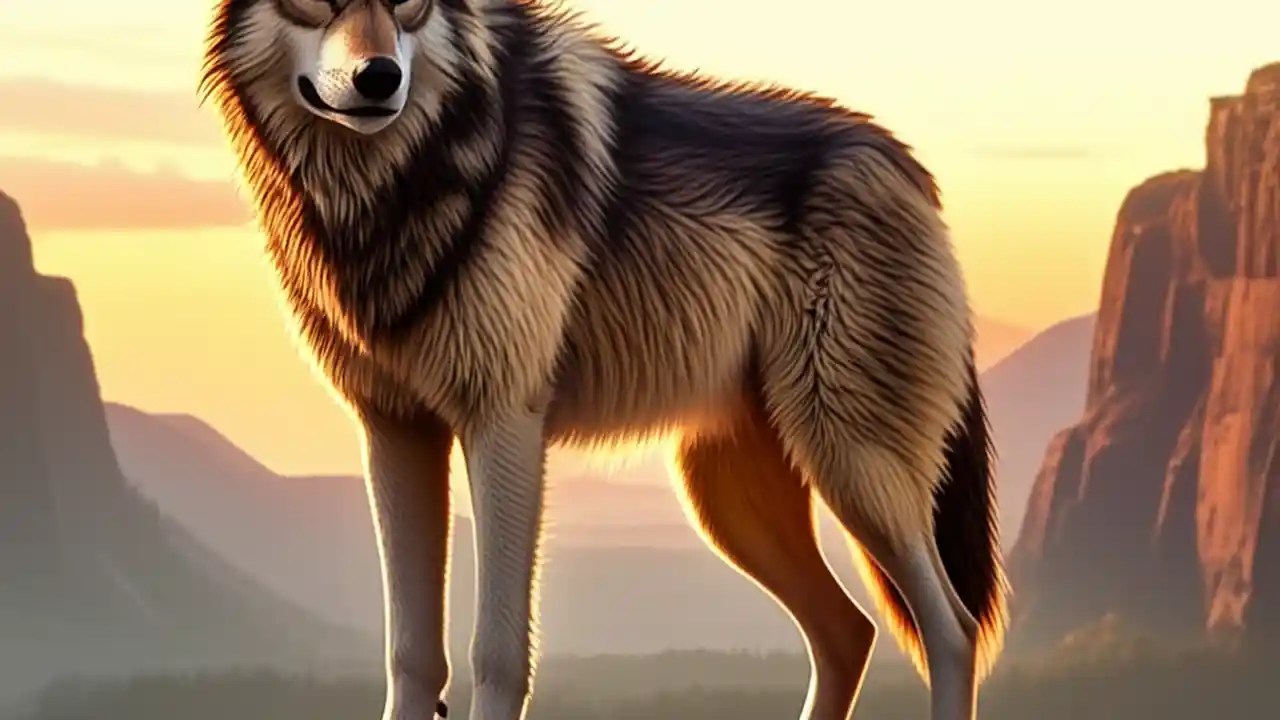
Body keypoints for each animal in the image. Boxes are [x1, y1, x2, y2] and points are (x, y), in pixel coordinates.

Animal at [200, 1, 1008, 719]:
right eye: (321, 1)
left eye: (409, 4)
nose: (379, 77)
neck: (396, 181)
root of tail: (907, 165)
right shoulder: (395, 431)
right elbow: (411, 656)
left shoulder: (503, 425)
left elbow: (496, 653)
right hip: (727, 500)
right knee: (849, 631)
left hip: (851, 466)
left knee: (952, 630)